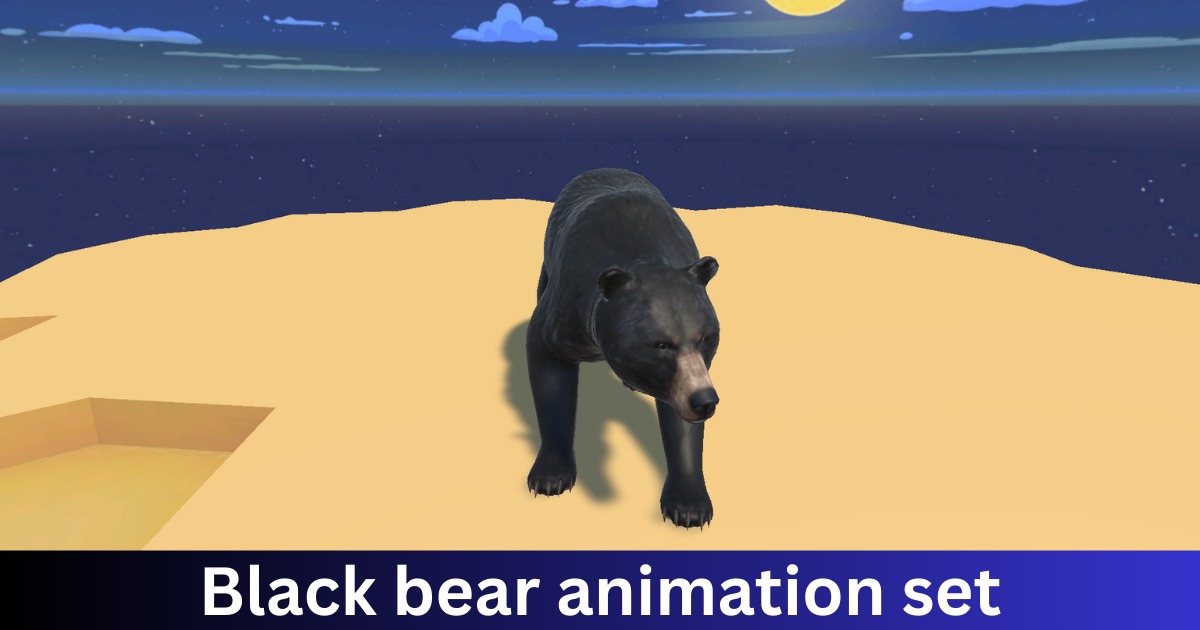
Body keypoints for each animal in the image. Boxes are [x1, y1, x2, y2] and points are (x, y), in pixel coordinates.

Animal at [525, 167, 722, 529]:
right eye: (662, 344)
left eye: (705, 338)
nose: (705, 401)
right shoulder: (567, 306)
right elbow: (550, 374)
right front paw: (550, 476)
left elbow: (681, 425)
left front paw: (689, 506)